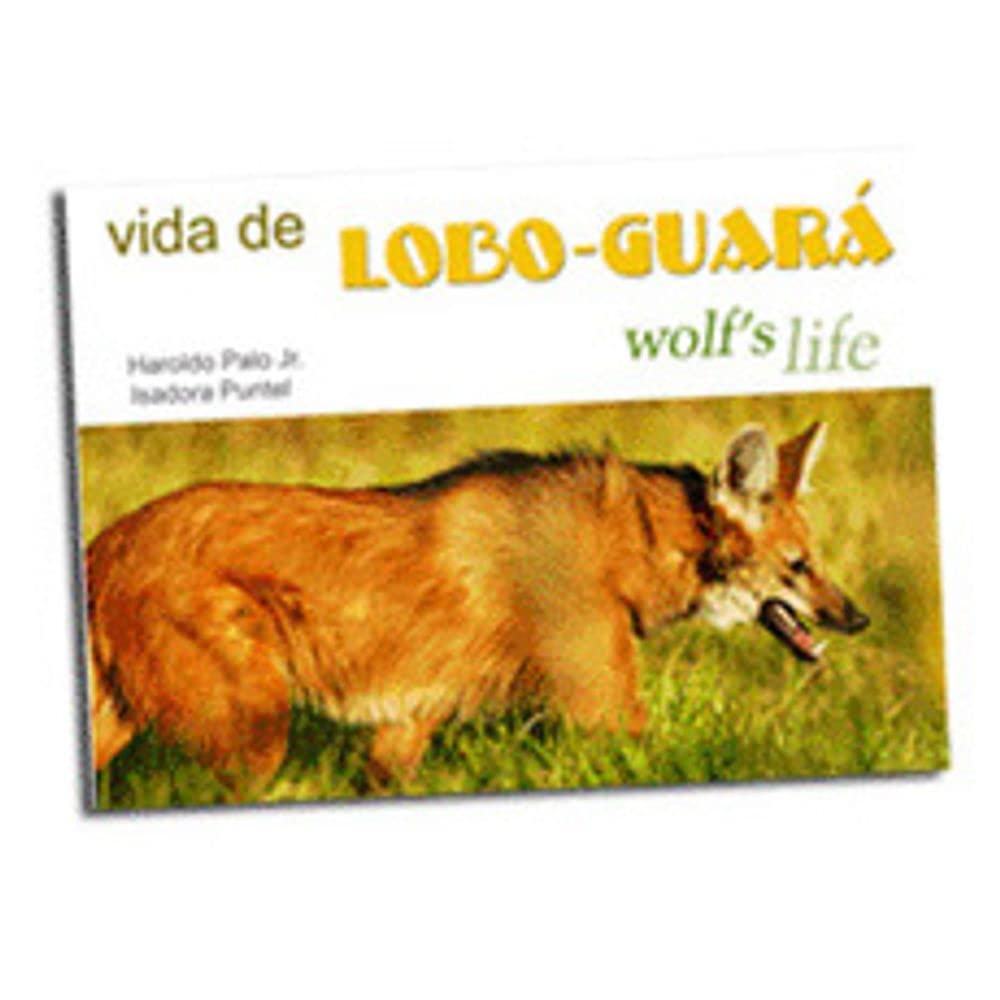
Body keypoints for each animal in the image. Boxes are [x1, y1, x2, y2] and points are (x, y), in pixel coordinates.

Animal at [85, 420, 868, 798]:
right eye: (799, 566)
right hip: (253, 734)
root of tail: (107, 540)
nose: (855, 618)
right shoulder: (604, 709)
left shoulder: (405, 724)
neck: (632, 549)